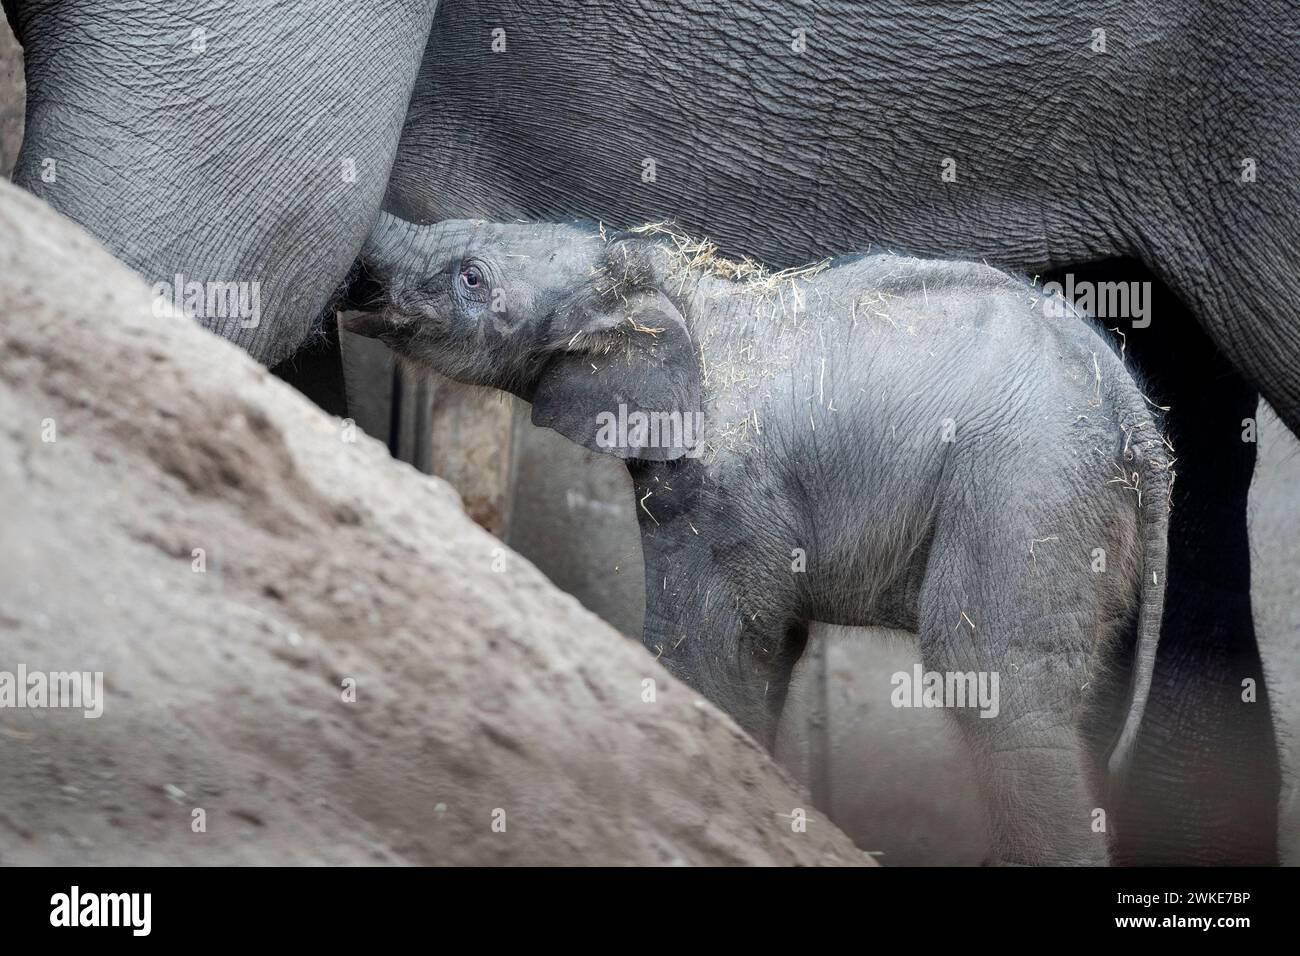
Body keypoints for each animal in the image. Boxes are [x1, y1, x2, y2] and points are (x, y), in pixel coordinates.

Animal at [343, 212, 1172, 865]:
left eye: (471, 277)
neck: (674, 282)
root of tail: (1138, 417)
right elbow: (767, 652)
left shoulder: (723, 488)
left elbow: (706, 646)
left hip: (1024, 489)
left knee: (997, 683)